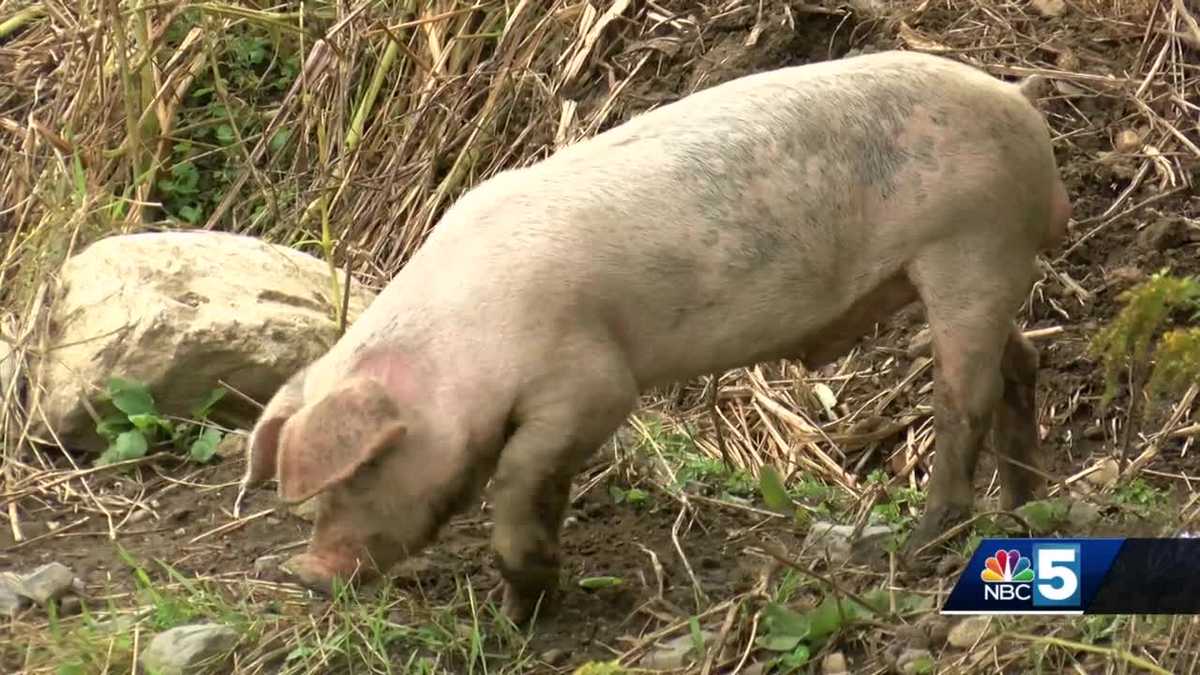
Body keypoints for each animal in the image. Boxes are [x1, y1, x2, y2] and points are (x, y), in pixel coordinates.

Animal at [241, 49, 1072, 624]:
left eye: (361, 470)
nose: (305, 572)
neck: (460, 351)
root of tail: (1016, 98)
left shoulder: (590, 383)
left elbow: (524, 477)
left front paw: (524, 616)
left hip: (973, 242)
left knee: (964, 396)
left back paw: (916, 542)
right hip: (979, 266)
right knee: (1021, 360)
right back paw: (1021, 508)